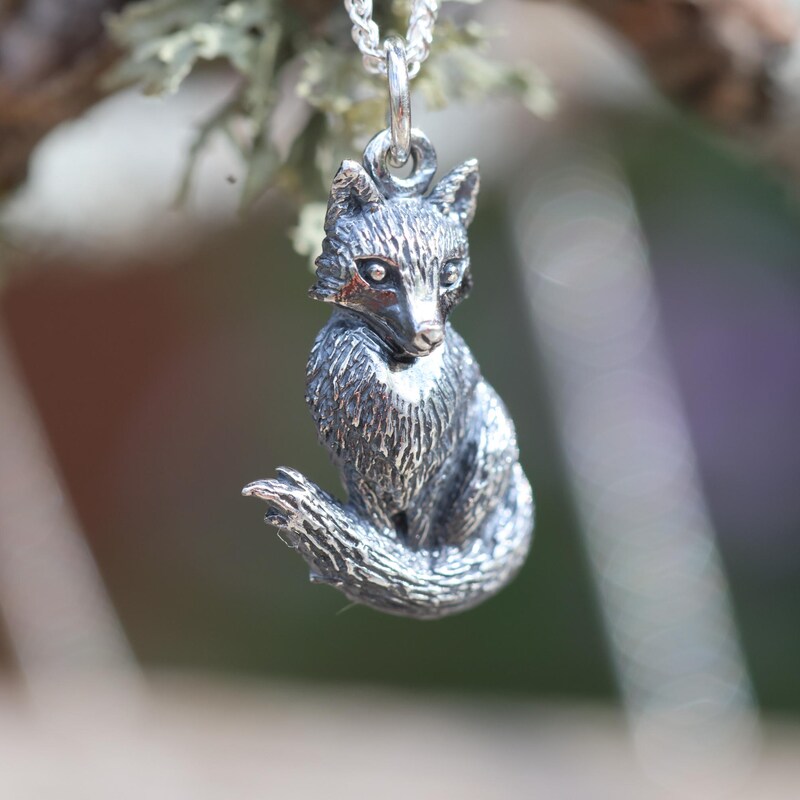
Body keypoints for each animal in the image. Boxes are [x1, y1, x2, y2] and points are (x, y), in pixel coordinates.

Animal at [244, 146, 534, 619]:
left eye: (449, 273)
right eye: (377, 273)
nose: (430, 335)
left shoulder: (443, 466)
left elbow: (421, 537)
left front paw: (416, 567)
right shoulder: (356, 472)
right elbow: (377, 523)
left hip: (491, 444)